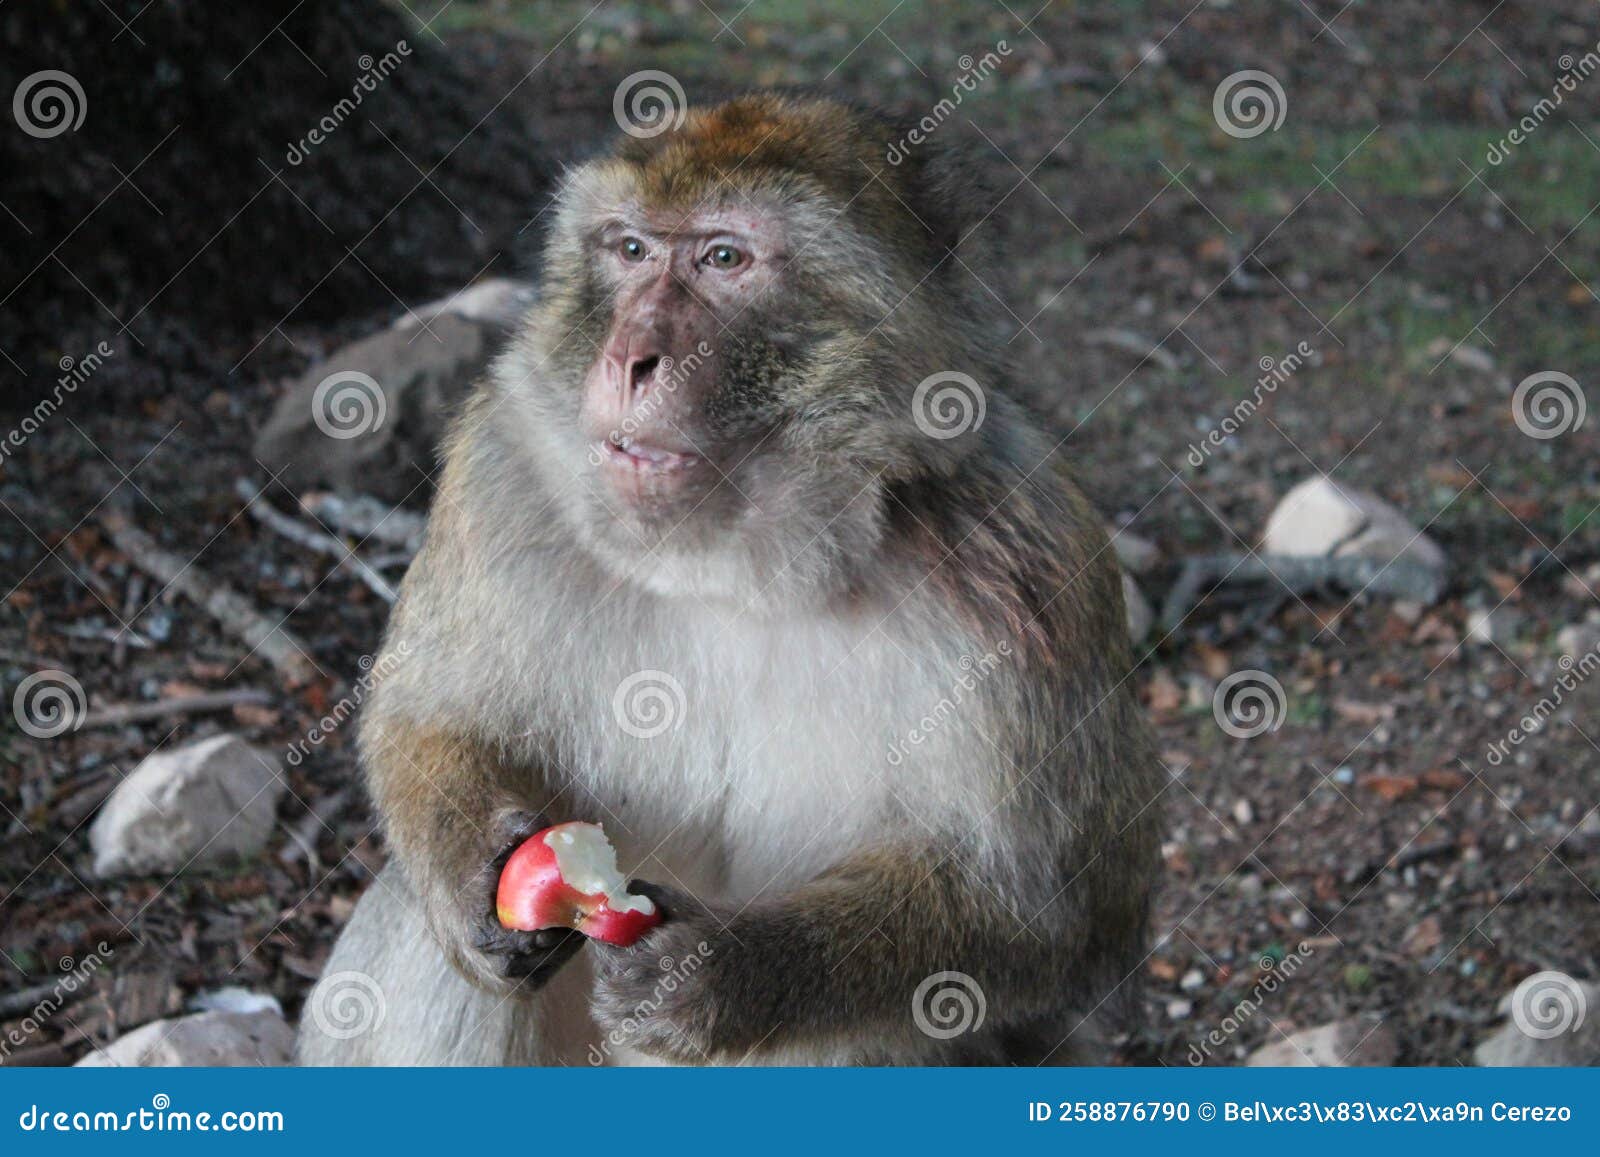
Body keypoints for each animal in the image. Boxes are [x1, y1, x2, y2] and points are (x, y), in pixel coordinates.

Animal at [296, 93, 1161, 1067]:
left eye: (724, 258)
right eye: (631, 249)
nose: (631, 355)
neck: (735, 567)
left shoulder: (1027, 568)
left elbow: (1057, 916)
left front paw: (721, 972)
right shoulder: (497, 472)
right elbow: (427, 716)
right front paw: (470, 867)